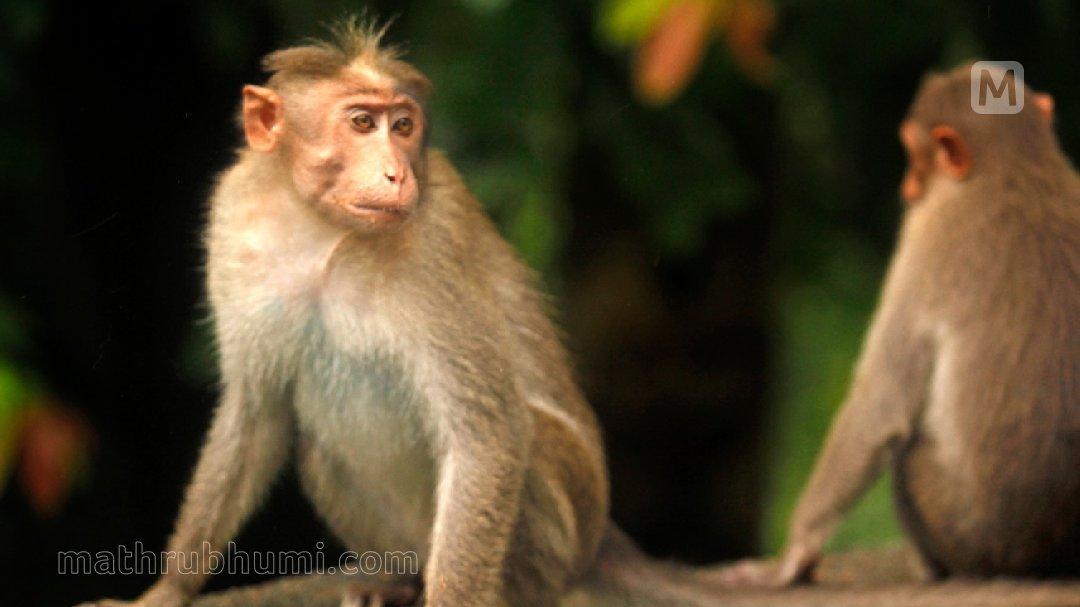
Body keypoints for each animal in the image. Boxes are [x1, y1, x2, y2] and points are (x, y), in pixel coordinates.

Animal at [78, 18, 731, 607]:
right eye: (362, 123)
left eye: (404, 125)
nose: (396, 173)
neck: (321, 233)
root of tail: (601, 545)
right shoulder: (234, 225)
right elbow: (255, 409)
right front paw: (167, 591)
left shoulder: (431, 257)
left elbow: (488, 431)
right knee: (314, 444)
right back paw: (396, 581)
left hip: (563, 534)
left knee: (531, 441)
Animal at [716, 63, 1080, 587]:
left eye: (913, 153)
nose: (907, 188)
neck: (1021, 169)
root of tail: (1034, 558)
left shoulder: (924, 238)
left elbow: (879, 403)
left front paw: (793, 554)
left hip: (956, 526)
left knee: (905, 454)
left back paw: (930, 568)